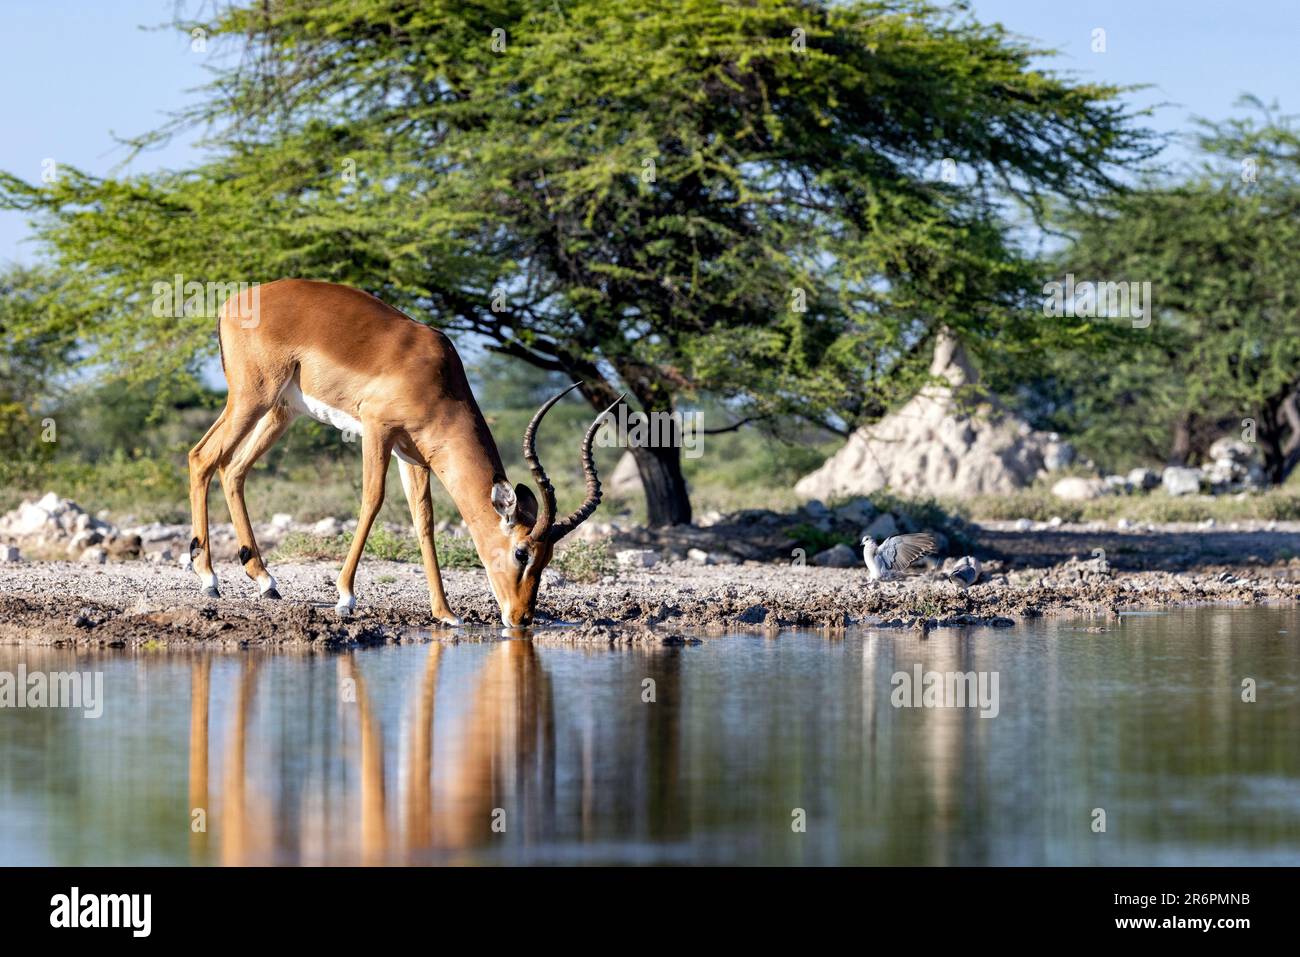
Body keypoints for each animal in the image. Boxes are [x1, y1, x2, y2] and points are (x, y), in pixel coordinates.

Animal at [187, 279, 621, 628]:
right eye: (521, 553)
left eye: (547, 559)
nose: (522, 617)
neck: (437, 380)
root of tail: (232, 303)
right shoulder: (376, 429)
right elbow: (372, 500)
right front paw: (345, 598)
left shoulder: (413, 456)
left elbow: (423, 521)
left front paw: (446, 613)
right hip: (252, 398)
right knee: (202, 457)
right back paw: (209, 579)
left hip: (281, 411)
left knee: (233, 469)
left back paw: (264, 581)